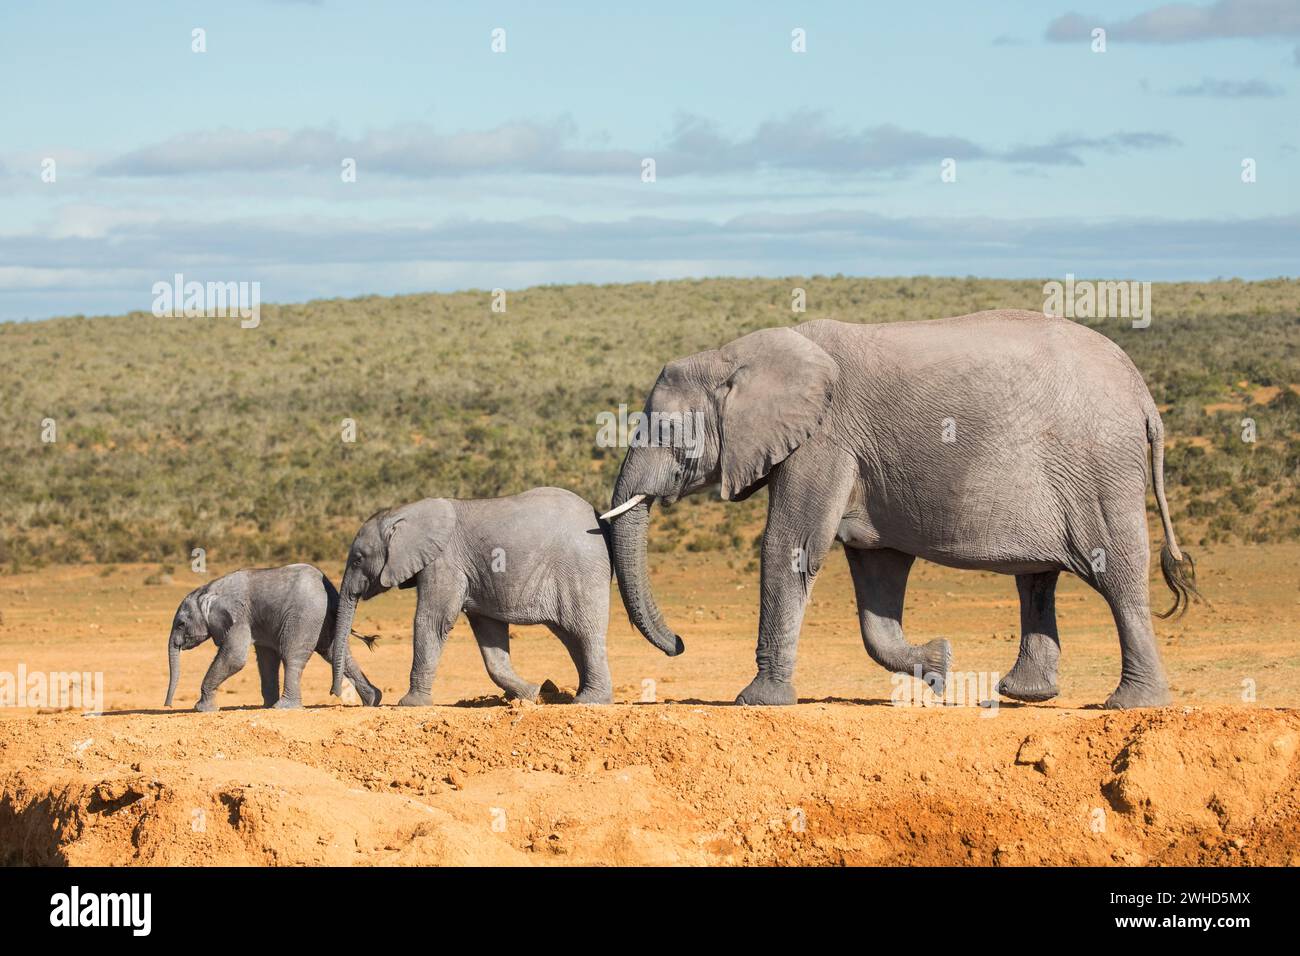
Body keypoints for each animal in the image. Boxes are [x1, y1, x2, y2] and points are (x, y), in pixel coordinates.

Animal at [164, 563, 381, 711]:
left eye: (181, 624)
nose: (168, 705)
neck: (208, 590)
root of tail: (331, 590)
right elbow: (266, 659)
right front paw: (265, 706)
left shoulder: (238, 617)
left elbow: (235, 658)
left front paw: (202, 709)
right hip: (323, 619)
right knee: (336, 653)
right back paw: (372, 700)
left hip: (305, 616)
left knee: (292, 655)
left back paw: (285, 707)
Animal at [329, 487, 613, 706]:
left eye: (358, 559)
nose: (334, 694)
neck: (403, 513)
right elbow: (488, 633)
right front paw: (532, 694)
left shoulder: (444, 561)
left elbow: (432, 621)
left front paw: (409, 704)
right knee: (571, 637)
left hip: (581, 570)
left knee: (585, 633)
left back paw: (589, 701)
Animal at [601, 310, 1204, 710]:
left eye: (668, 432)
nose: (678, 645)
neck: (738, 354)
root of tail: (1144, 396)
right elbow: (876, 571)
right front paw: (939, 663)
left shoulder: (825, 440)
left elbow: (790, 548)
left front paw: (756, 701)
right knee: (1036, 579)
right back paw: (1024, 694)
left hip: (1100, 469)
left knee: (1117, 576)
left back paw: (1130, 705)